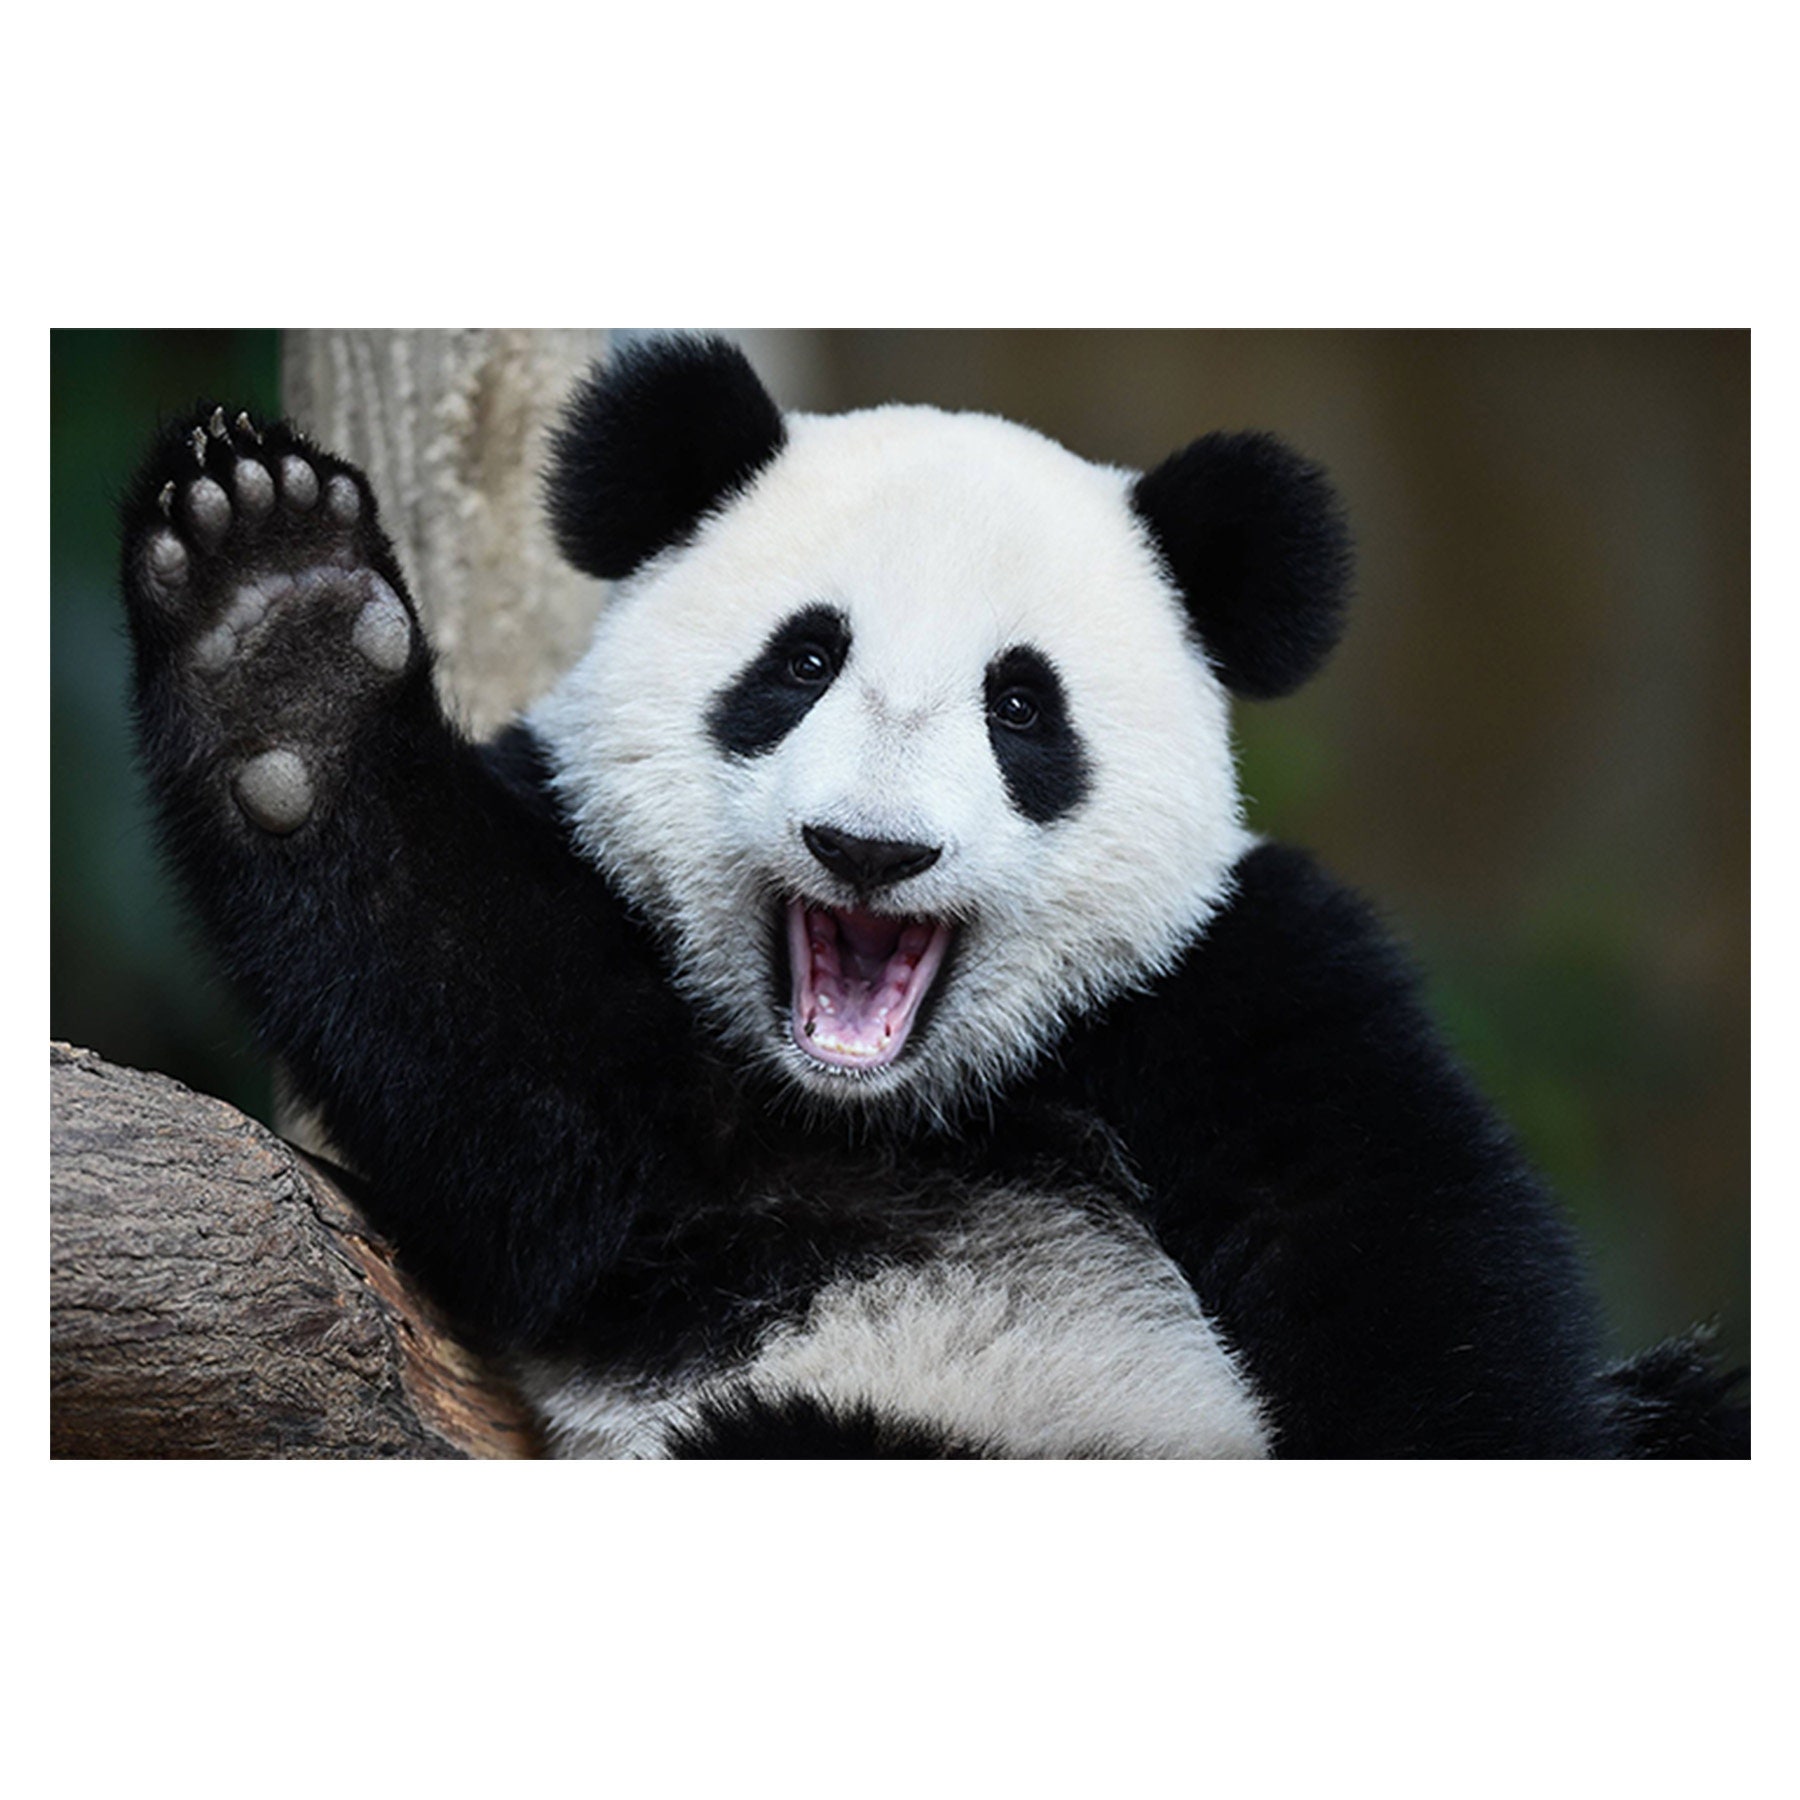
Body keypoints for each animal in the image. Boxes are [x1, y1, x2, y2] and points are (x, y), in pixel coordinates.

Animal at [118, 334, 1748, 1458]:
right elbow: (510, 1068)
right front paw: (280, 629)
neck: (891, 1107)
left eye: (1020, 707)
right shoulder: (631, 1091)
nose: (871, 851)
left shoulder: (1234, 976)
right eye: (801, 662)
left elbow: (1398, 1253)